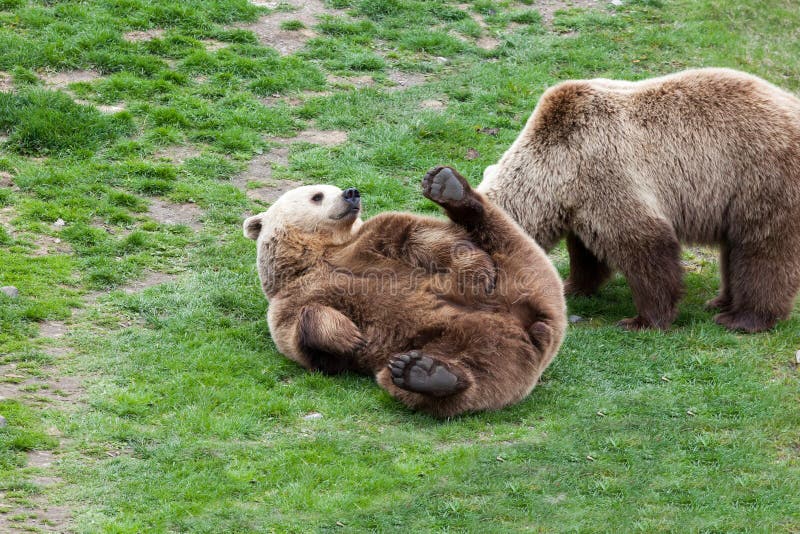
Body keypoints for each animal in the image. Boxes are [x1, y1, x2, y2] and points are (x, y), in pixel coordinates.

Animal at [243, 166, 566, 418]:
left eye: (331, 188)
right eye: (317, 195)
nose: (351, 192)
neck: (316, 254)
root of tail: (535, 327)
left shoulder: (373, 241)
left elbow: (420, 235)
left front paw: (474, 273)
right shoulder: (291, 299)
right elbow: (305, 338)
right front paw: (348, 336)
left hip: (525, 276)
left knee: (503, 236)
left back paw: (449, 187)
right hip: (490, 350)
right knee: (478, 376)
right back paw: (425, 373)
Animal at [477, 67, 800, 333]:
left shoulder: (603, 172)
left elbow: (645, 245)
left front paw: (641, 320)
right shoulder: (581, 202)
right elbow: (585, 252)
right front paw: (572, 286)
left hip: (763, 178)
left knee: (763, 249)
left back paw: (743, 318)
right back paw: (720, 302)